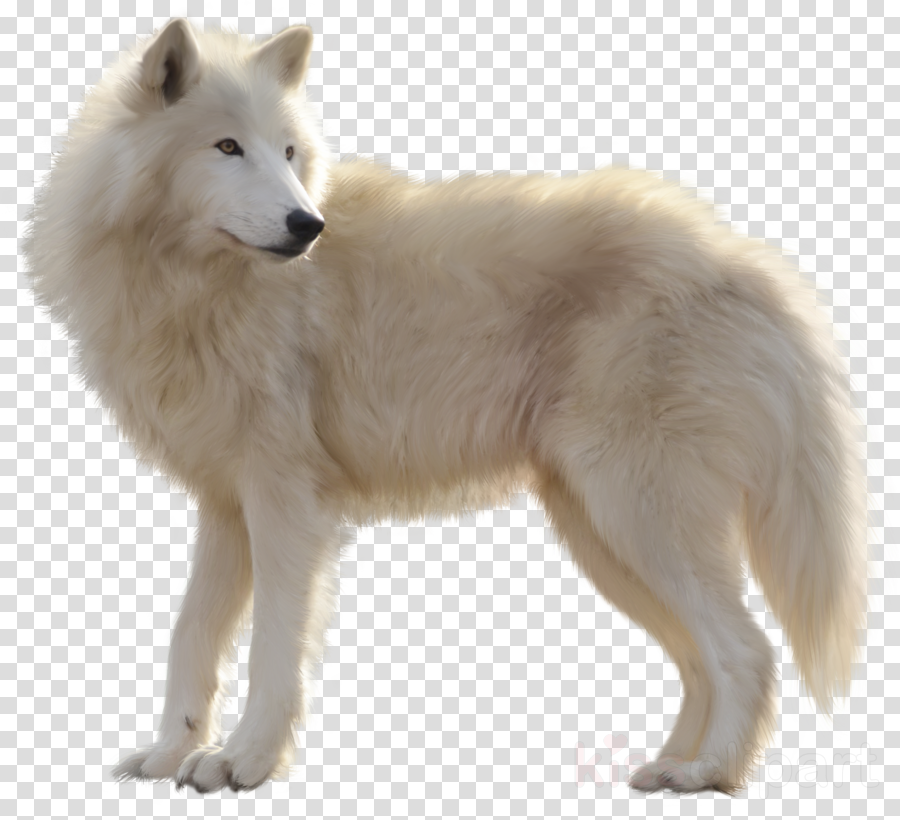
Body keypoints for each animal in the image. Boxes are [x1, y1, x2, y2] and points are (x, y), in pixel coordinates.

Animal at [26, 16, 882, 797]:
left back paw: (708, 776)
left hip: (636, 515)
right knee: (705, 658)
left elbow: (272, 649)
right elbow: (193, 644)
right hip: (604, 531)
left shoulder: (285, 504)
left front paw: (242, 764)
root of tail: (748, 257)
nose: (307, 225)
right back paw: (668, 766)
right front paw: (170, 757)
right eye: (228, 148)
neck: (191, 287)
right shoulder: (227, 506)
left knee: (749, 651)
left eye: (290, 153)